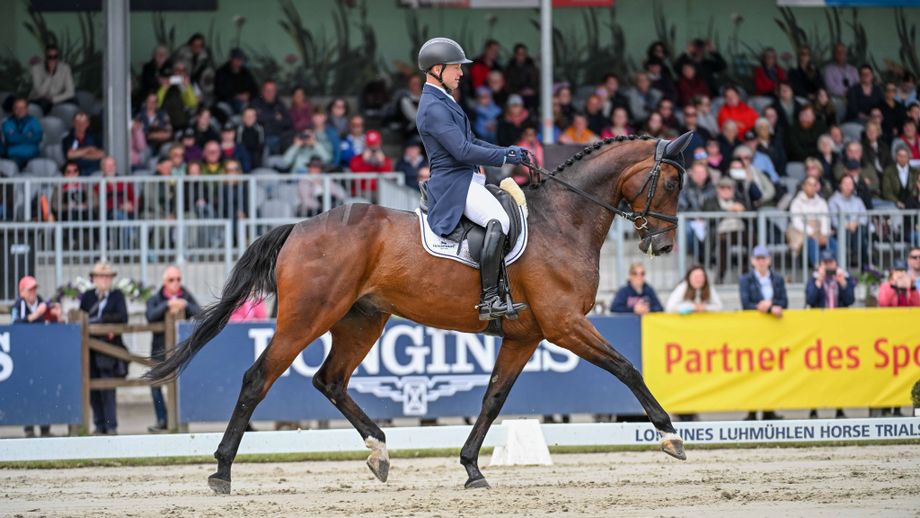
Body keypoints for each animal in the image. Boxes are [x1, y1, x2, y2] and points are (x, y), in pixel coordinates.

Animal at [146, 132, 693, 494]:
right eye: (669, 183)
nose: (663, 245)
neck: (563, 221)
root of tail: (299, 227)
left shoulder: (525, 336)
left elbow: (493, 399)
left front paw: (472, 468)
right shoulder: (565, 325)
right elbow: (626, 367)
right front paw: (669, 435)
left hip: (362, 320)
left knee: (330, 381)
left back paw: (380, 451)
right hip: (308, 318)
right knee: (258, 378)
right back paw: (221, 471)